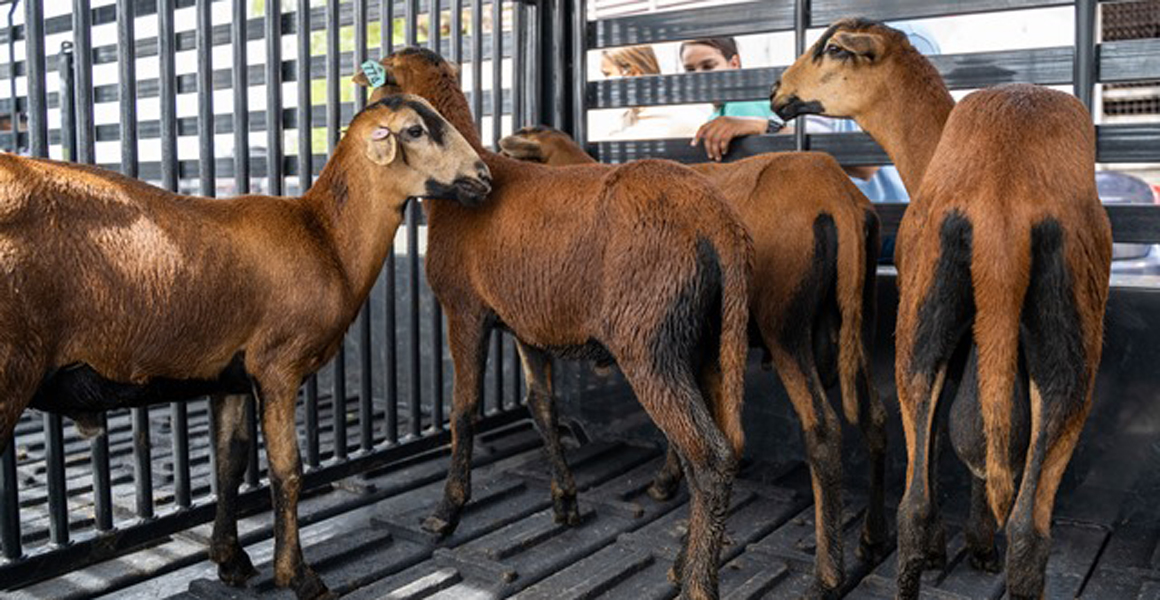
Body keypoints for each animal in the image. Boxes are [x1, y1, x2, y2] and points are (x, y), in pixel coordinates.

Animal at [0, 94, 490, 600]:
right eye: (414, 131)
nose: (484, 179)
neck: (326, 239)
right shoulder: (278, 365)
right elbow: (287, 470)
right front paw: (299, 577)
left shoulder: (230, 374)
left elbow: (230, 463)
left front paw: (230, 561)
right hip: (11, 365)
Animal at [354, 47, 754, 599]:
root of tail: (718, 220)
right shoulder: (527, 327)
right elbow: (542, 407)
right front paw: (565, 501)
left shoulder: (465, 311)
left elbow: (465, 410)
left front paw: (446, 512)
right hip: (711, 339)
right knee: (723, 445)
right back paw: (682, 560)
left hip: (648, 341)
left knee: (709, 457)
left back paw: (696, 581)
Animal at [498, 124, 886, 594]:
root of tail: (838, 195)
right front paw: (670, 483)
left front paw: (666, 488)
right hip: (859, 321)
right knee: (876, 418)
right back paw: (872, 538)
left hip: (785, 328)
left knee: (824, 430)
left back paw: (828, 573)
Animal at [772, 18, 1113, 599]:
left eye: (833, 49)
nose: (776, 92)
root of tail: (1003, 200)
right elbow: (981, 438)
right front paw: (975, 546)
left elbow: (956, 441)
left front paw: (955, 548)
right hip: (1057, 349)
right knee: (1022, 531)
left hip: (924, 323)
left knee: (927, 503)